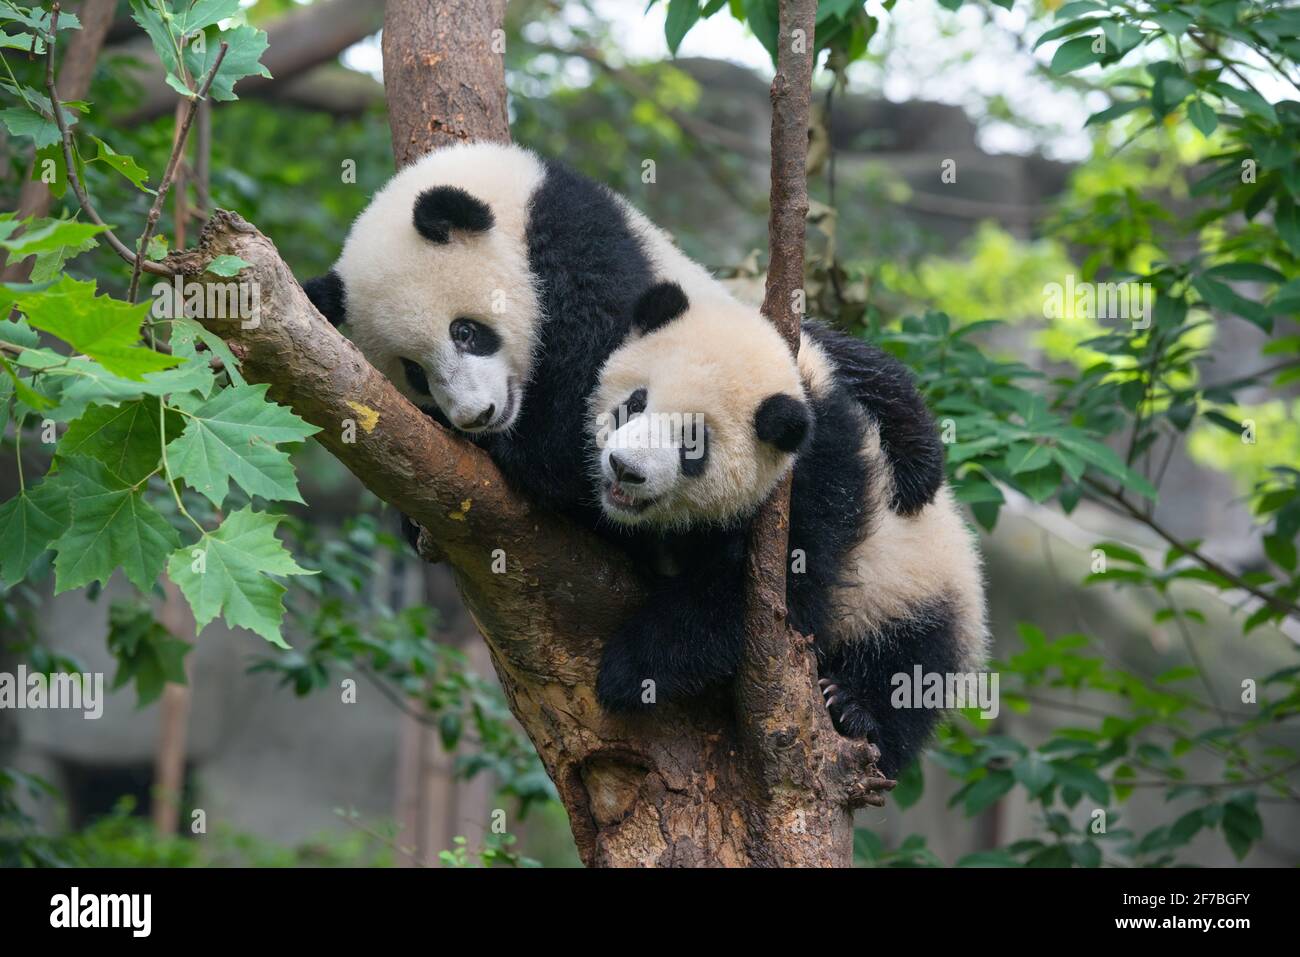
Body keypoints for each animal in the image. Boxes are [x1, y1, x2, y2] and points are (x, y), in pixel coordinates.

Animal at [589, 281, 987, 778]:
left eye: (692, 444)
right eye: (635, 403)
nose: (625, 469)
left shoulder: (817, 480)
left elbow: (775, 597)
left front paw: (629, 670)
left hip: (918, 593)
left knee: (912, 668)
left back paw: (854, 709)